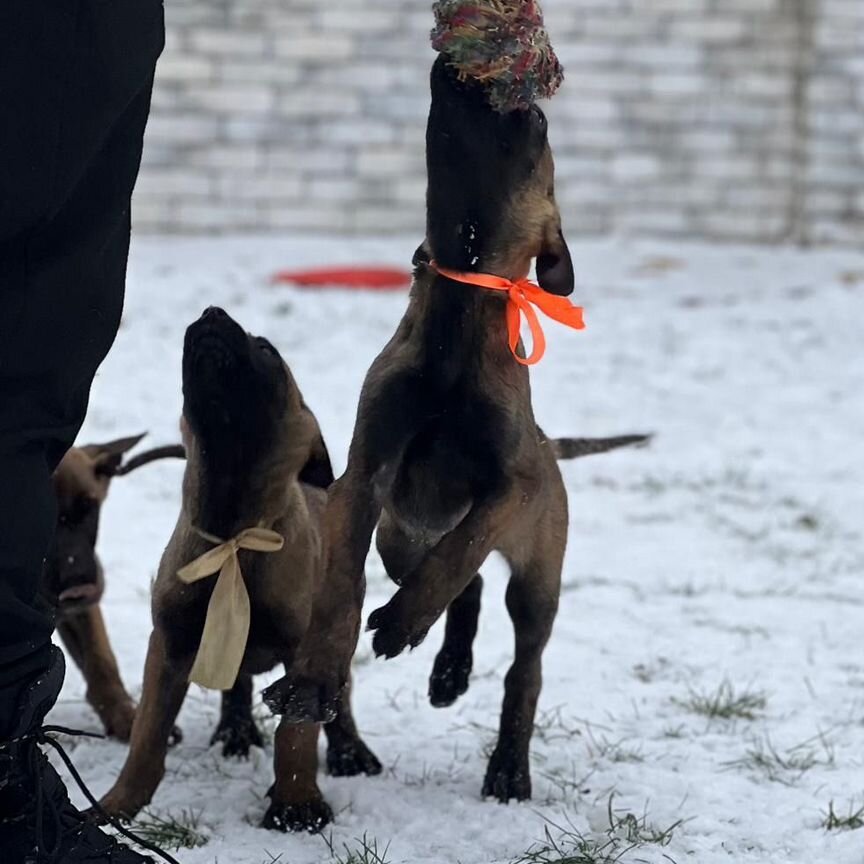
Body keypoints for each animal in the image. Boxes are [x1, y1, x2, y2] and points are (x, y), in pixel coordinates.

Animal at [98, 308, 378, 832]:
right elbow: (146, 739)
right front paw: (116, 807)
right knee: (238, 681)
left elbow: (296, 734)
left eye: (266, 348)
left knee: (339, 697)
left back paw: (350, 752)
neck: (232, 530)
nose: (211, 313)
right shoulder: (169, 644)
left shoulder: (301, 652)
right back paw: (235, 730)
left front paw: (295, 806)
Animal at [320, 59, 644, 804]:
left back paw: (508, 766)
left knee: (522, 664)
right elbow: (358, 583)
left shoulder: (511, 485)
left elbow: (465, 545)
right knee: (458, 587)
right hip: (399, 538)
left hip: (538, 577)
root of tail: (556, 447)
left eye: (539, 122)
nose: (452, 67)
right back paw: (447, 670)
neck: (457, 315)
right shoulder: (368, 474)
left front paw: (402, 623)